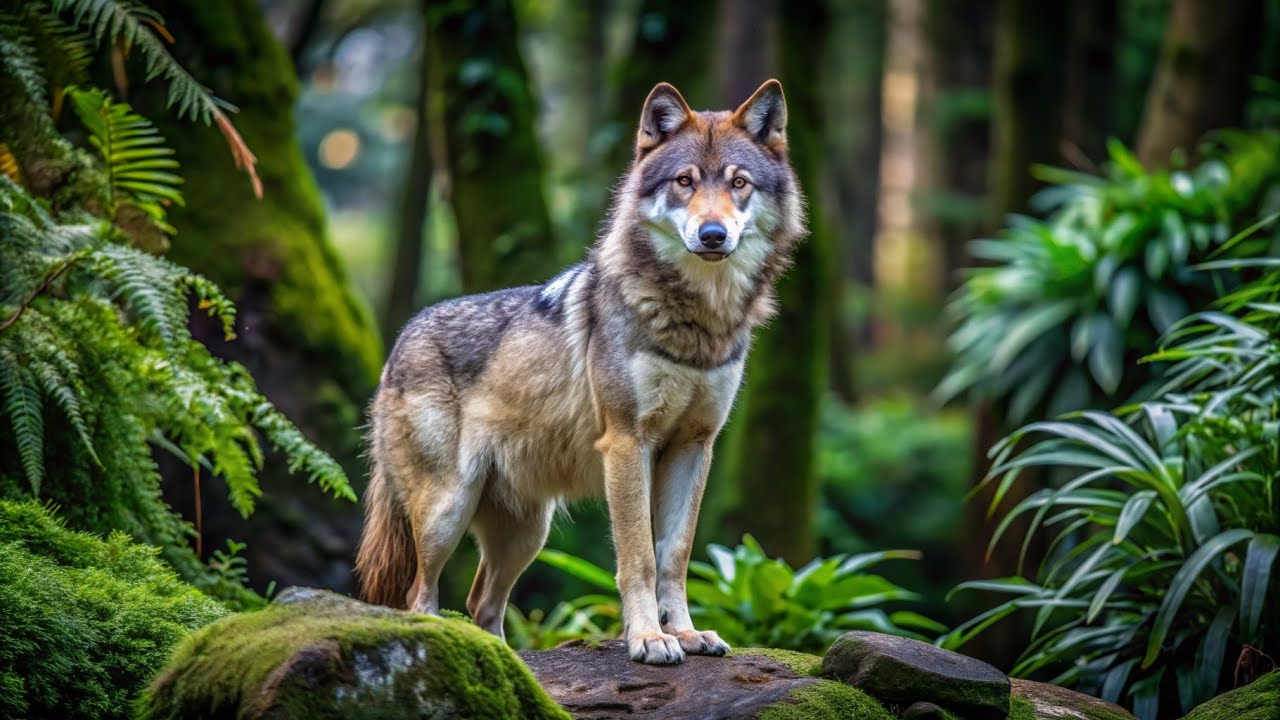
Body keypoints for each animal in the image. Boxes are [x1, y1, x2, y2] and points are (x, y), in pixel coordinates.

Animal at [356, 79, 806, 665]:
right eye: (684, 181)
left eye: (739, 183)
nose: (711, 235)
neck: (697, 321)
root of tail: (400, 341)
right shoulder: (627, 442)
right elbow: (639, 556)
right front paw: (648, 639)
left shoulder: (694, 446)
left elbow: (675, 554)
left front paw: (687, 633)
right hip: (445, 513)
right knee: (419, 597)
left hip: (528, 534)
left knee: (482, 603)